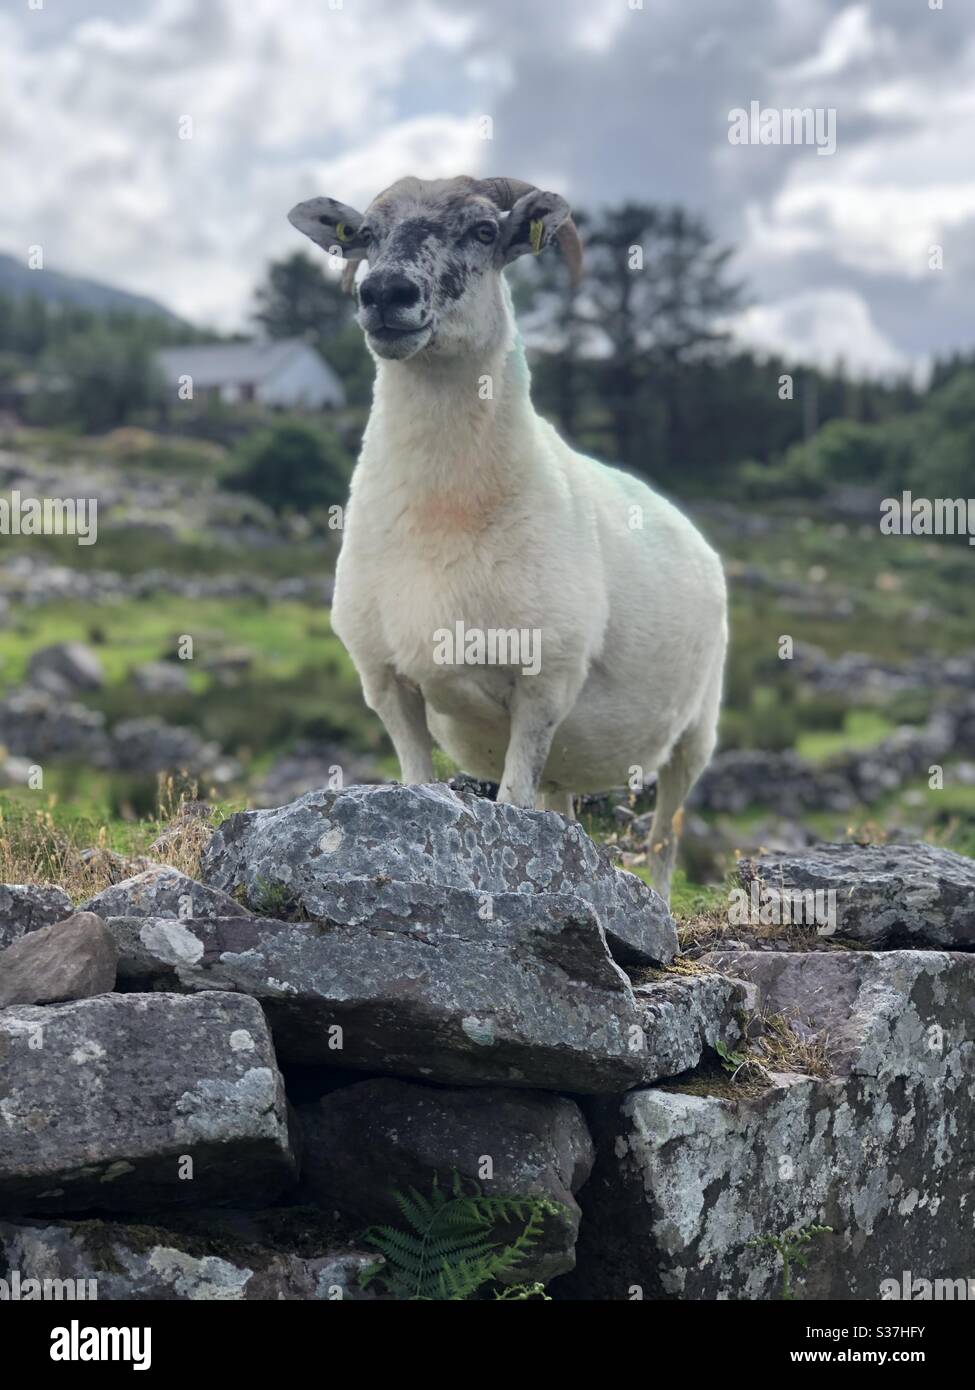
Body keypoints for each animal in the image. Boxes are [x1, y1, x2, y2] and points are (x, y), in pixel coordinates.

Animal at [288, 176, 727, 904]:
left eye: (484, 231)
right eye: (366, 236)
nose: (383, 293)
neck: (445, 515)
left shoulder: (544, 682)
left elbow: (513, 805)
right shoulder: (386, 681)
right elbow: (421, 786)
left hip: (695, 733)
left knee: (666, 835)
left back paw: (658, 904)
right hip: (574, 757)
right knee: (561, 808)